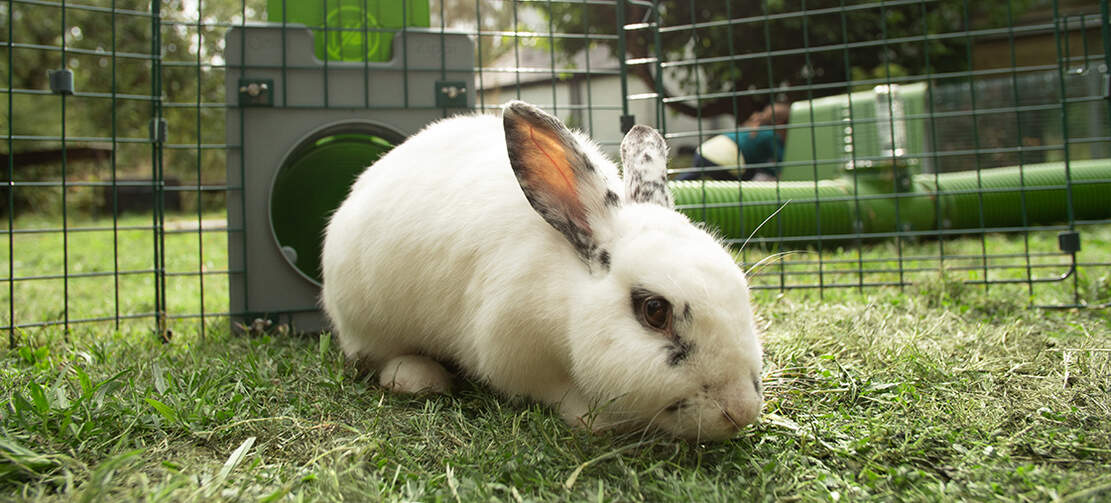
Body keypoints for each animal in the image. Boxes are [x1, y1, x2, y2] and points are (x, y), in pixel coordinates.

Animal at [321, 101, 763, 441]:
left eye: (742, 292)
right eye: (655, 310)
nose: (741, 410)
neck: (566, 299)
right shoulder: (511, 353)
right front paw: (598, 420)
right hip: (368, 320)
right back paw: (418, 377)